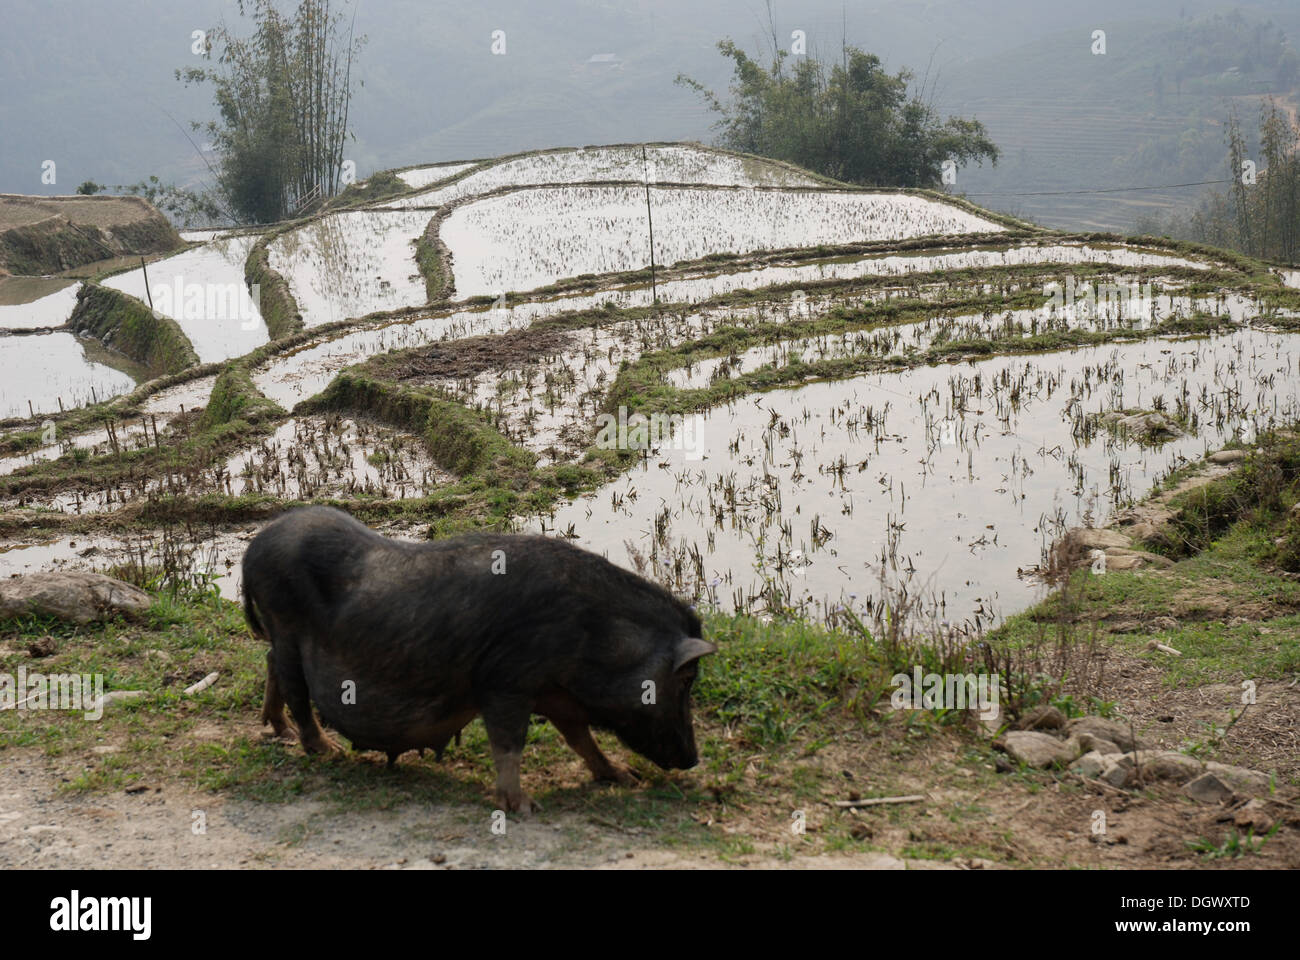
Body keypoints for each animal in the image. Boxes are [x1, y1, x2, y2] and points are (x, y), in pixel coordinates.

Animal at [242, 506, 717, 812]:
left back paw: (280, 732)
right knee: (295, 687)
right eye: (685, 681)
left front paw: (623, 778)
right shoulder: (505, 681)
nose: (693, 759)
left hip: (279, 632)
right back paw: (328, 751)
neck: (594, 634)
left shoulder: (555, 692)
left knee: (269, 663)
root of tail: (254, 547)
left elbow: (580, 738)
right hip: (285, 621)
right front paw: (523, 808)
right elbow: (509, 743)